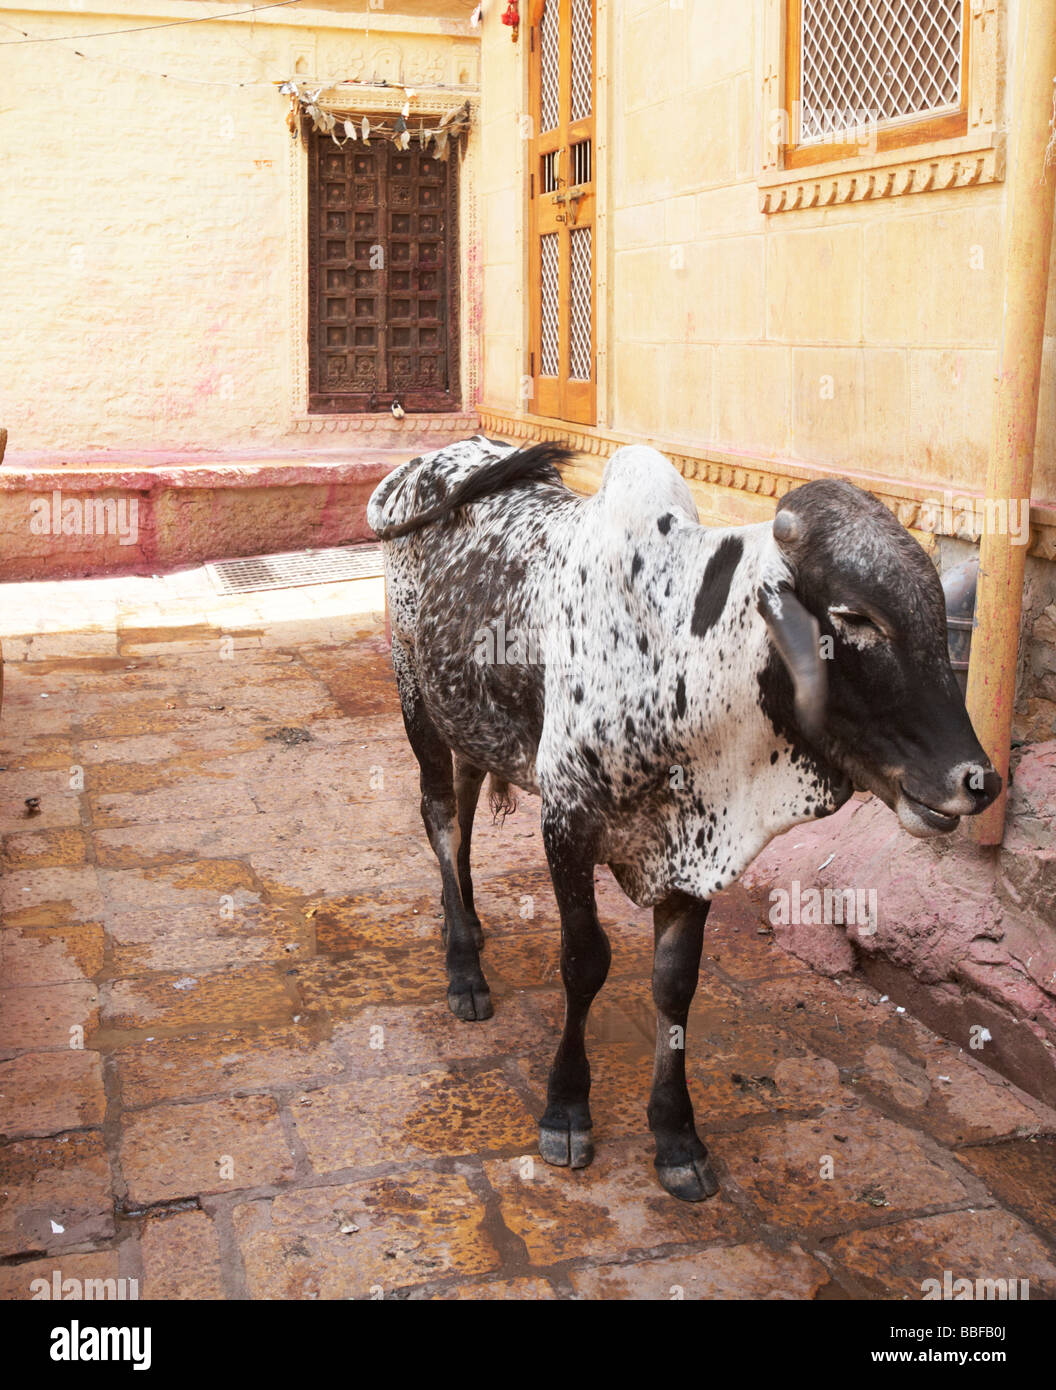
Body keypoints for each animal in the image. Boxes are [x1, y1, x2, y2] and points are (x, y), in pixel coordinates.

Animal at [367, 435, 1000, 1202]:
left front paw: (675, 1136)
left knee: (460, 808)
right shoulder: (566, 823)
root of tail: (429, 462)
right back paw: (463, 964)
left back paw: (462, 917)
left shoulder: (694, 852)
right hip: (414, 692)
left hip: (465, 714)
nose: (976, 780)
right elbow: (584, 962)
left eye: (942, 618)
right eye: (855, 618)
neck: (679, 663)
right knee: (438, 814)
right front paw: (566, 1108)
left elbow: (675, 985)